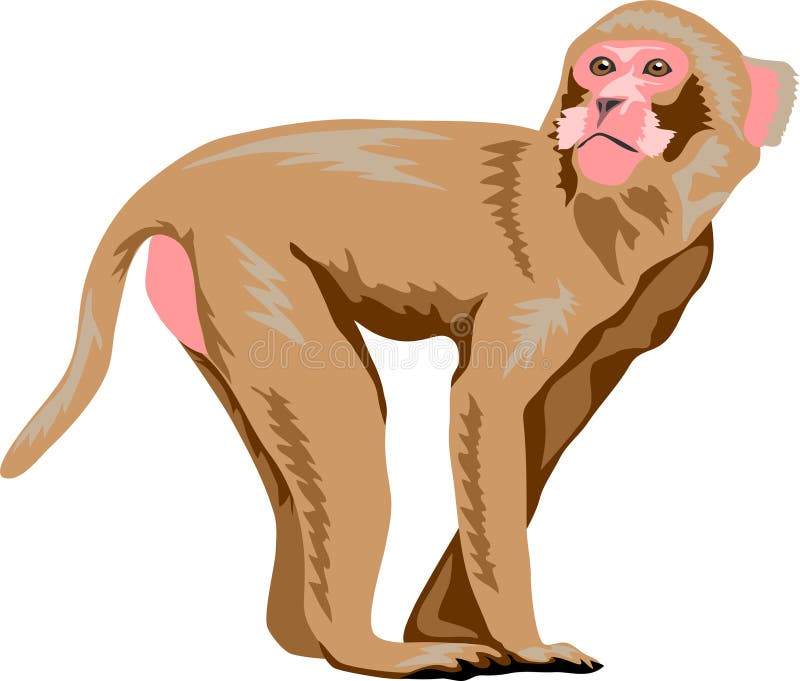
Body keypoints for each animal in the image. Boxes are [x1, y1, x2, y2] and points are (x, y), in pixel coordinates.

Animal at [1, 1, 795, 677]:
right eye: (601, 66)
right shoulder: (545, 278)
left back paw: (304, 635)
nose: (603, 102)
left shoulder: (676, 273)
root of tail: (180, 174)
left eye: (654, 69)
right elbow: (488, 406)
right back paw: (360, 647)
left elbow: (552, 415)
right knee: (342, 415)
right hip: (248, 253)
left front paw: (450, 622)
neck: (628, 205)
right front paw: (523, 642)